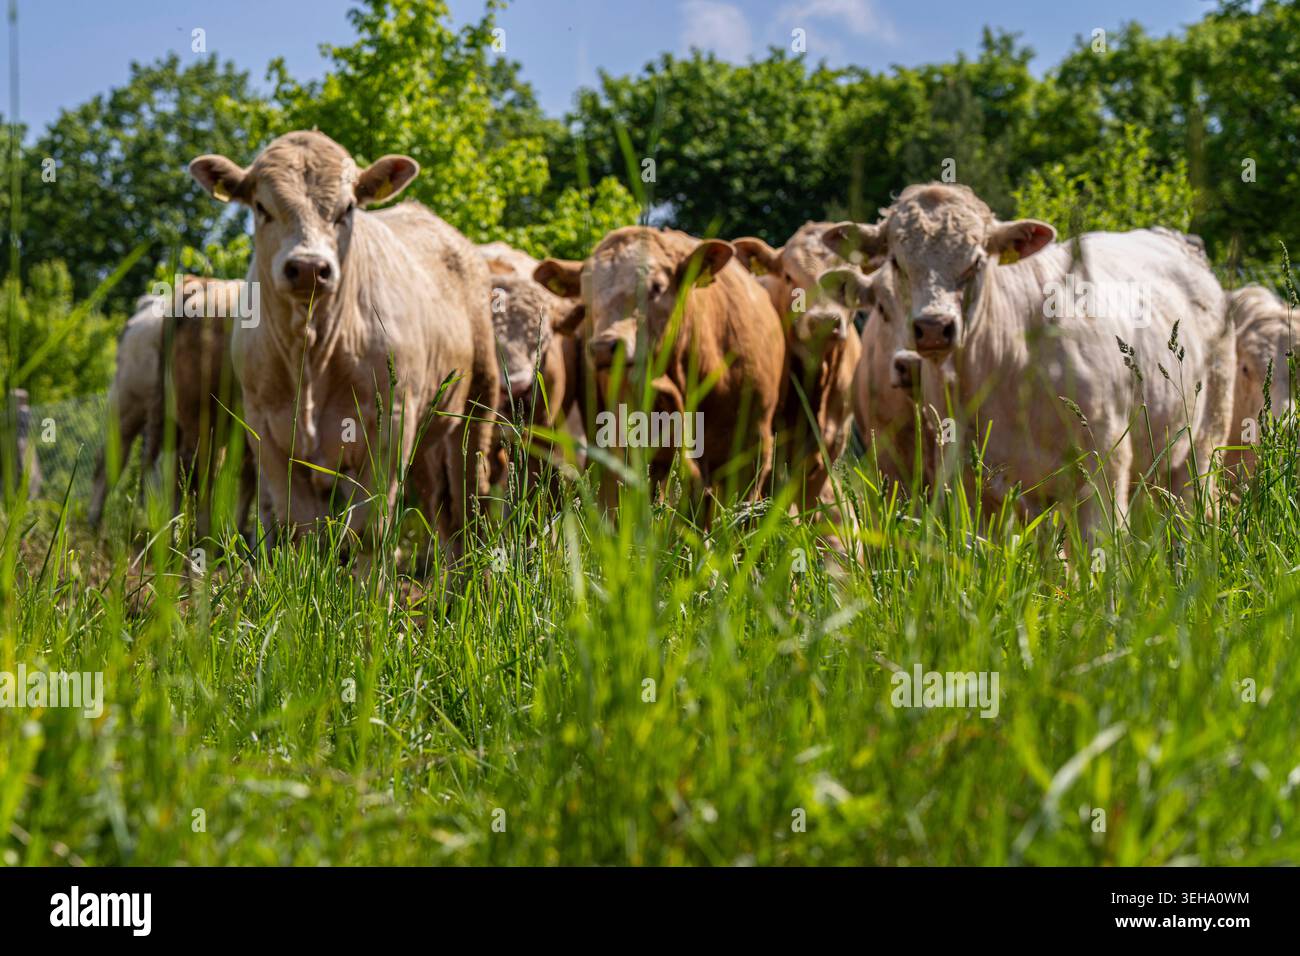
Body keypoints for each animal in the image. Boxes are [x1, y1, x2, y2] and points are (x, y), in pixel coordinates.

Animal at [189, 130, 499, 557]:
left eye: (347, 208)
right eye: (261, 207)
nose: (307, 267)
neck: (311, 352)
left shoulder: (391, 423)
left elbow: (369, 532)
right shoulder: (265, 429)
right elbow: (300, 530)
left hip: (477, 405)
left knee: (469, 506)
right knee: (442, 510)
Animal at [820, 183, 1236, 536]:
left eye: (976, 262)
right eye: (897, 262)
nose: (934, 327)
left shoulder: (1105, 462)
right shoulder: (968, 481)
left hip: (1200, 448)